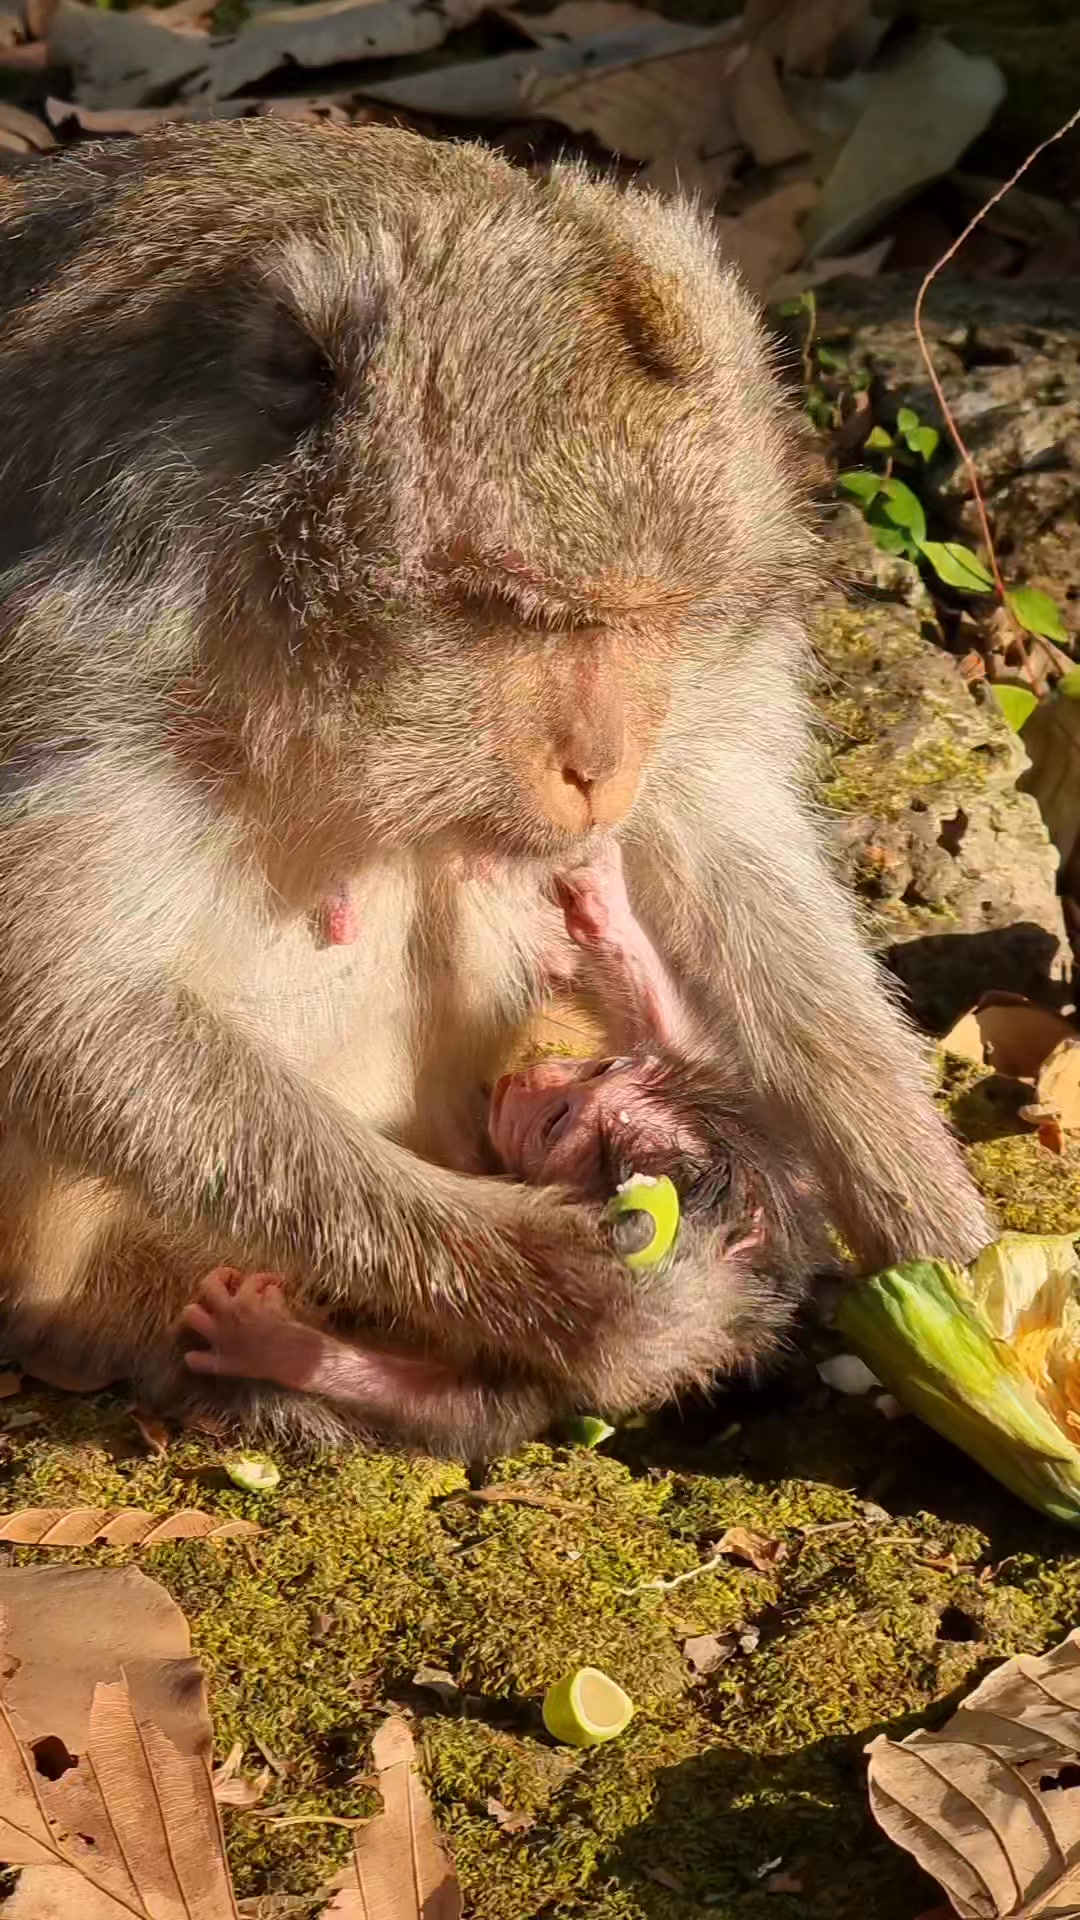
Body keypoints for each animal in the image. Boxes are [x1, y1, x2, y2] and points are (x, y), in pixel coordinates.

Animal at [0, 119, 991, 1449]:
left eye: (653, 620)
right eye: (530, 618)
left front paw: (950, 1247)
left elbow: (725, 845)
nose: (600, 768)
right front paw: (578, 1297)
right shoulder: (107, 633)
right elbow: (56, 998)